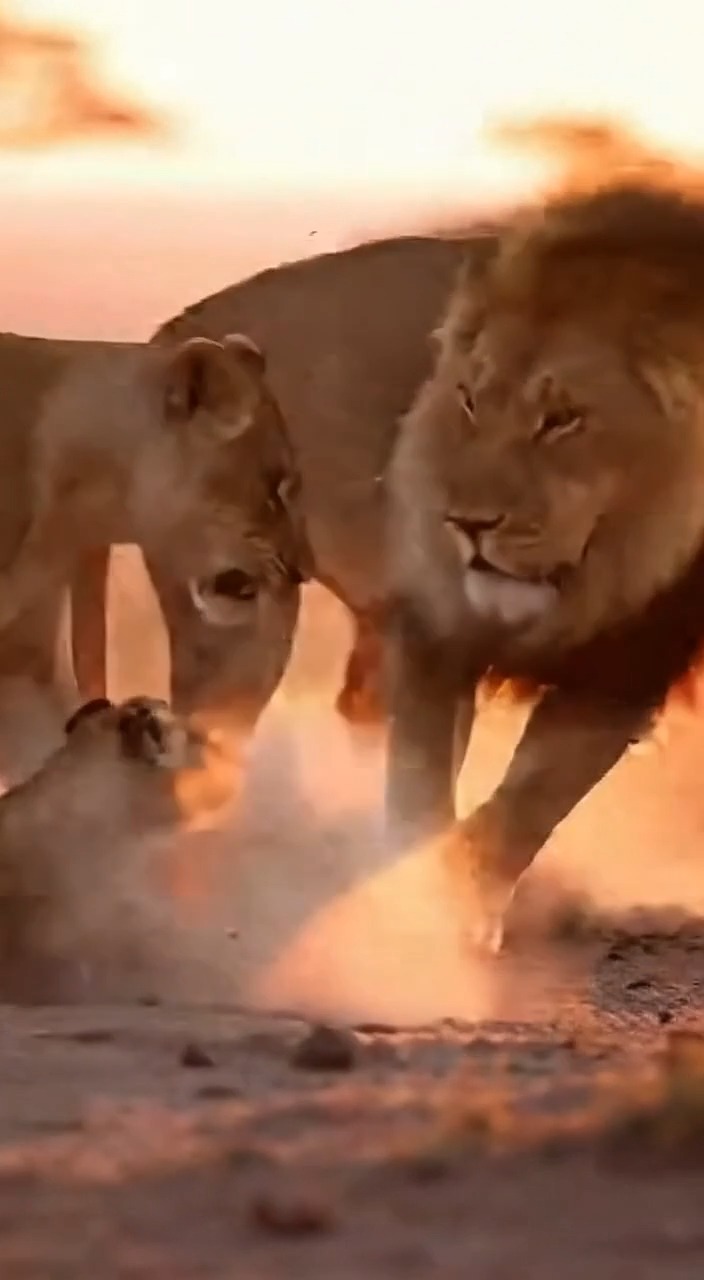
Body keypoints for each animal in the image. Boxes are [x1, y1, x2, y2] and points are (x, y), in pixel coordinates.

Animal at [385, 181, 704, 949]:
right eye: (470, 400)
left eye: (562, 419)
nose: (467, 525)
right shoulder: (438, 626)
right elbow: (414, 774)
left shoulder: (626, 669)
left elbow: (527, 802)